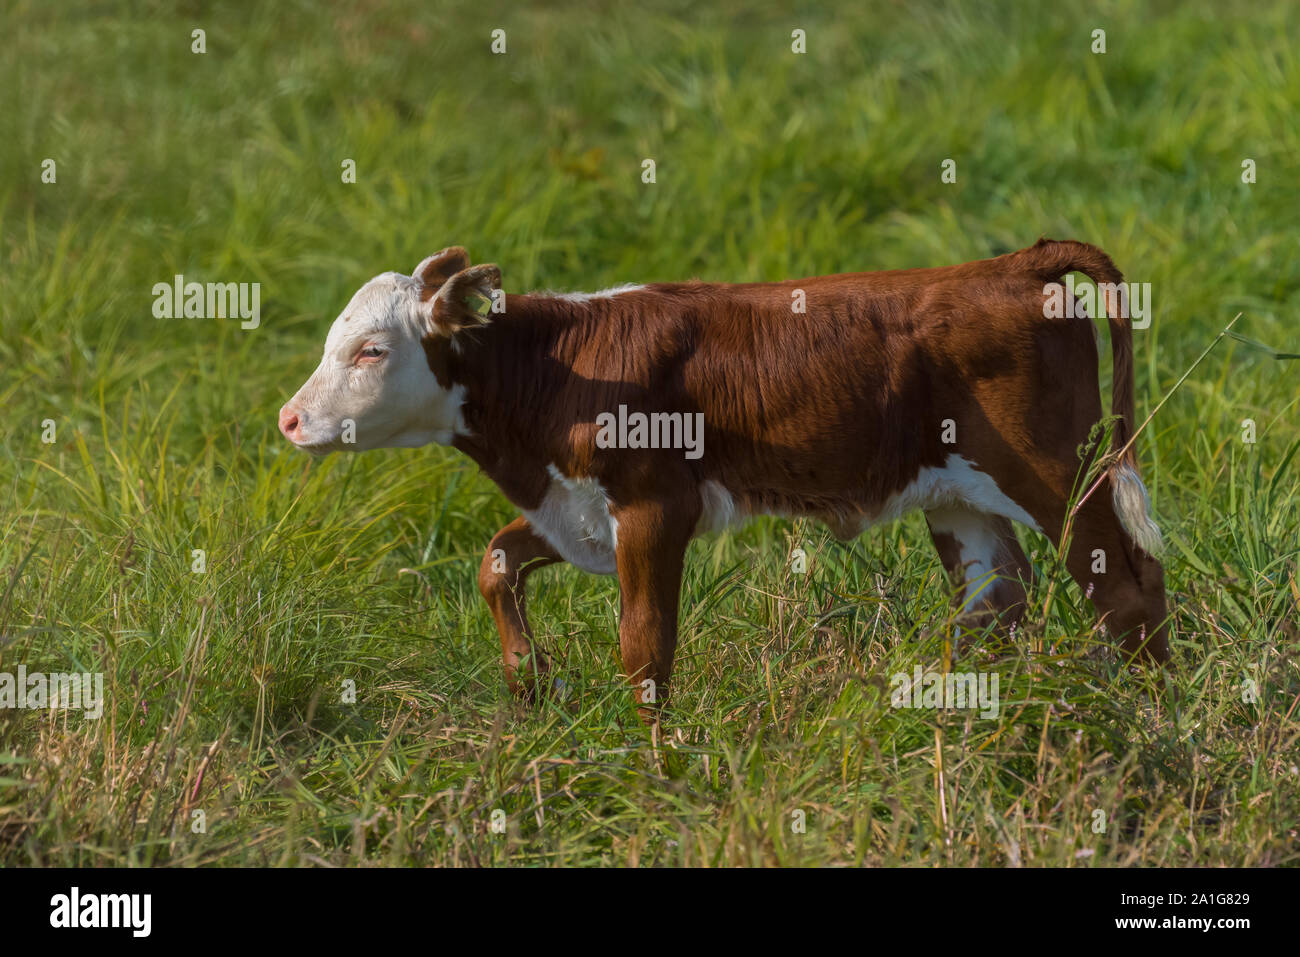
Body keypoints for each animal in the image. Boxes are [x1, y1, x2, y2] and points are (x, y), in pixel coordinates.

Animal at [279, 239, 1171, 720]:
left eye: (371, 350)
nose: (289, 419)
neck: (557, 371)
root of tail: (1011, 264)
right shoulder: (578, 508)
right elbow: (496, 561)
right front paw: (530, 681)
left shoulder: (653, 504)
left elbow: (645, 646)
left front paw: (658, 768)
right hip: (960, 494)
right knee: (997, 601)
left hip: (1058, 471)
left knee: (1127, 589)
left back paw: (1154, 717)